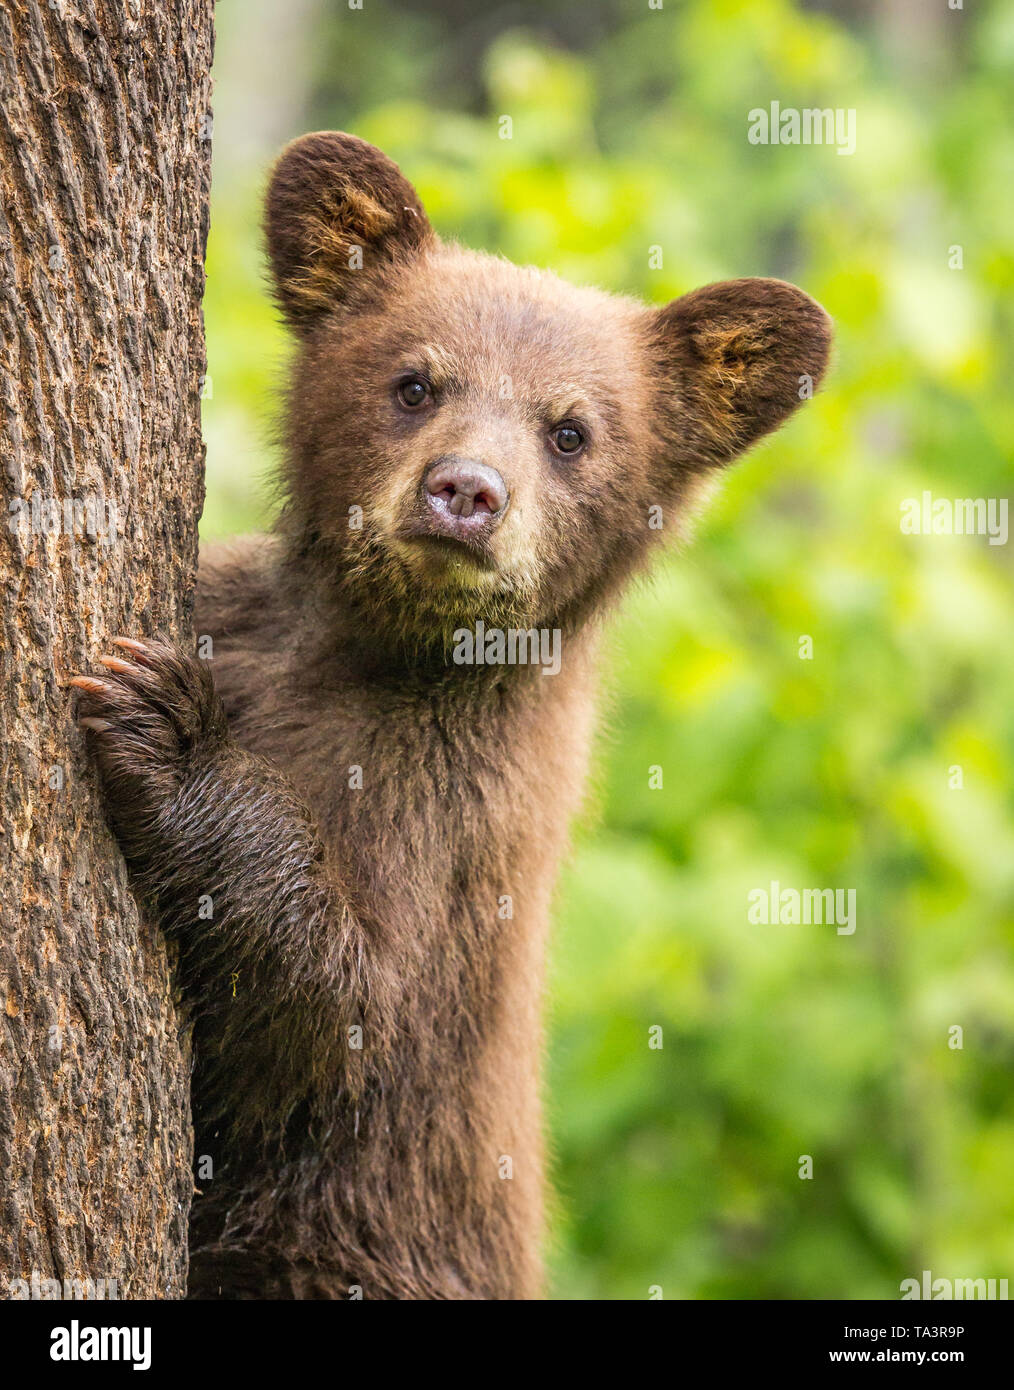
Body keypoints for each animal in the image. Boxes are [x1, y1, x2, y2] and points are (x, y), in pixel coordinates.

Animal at [71, 132, 831, 1300]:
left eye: (571, 430)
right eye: (414, 380)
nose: (466, 492)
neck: (379, 654)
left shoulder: (457, 820)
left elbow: (337, 1006)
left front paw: (168, 730)